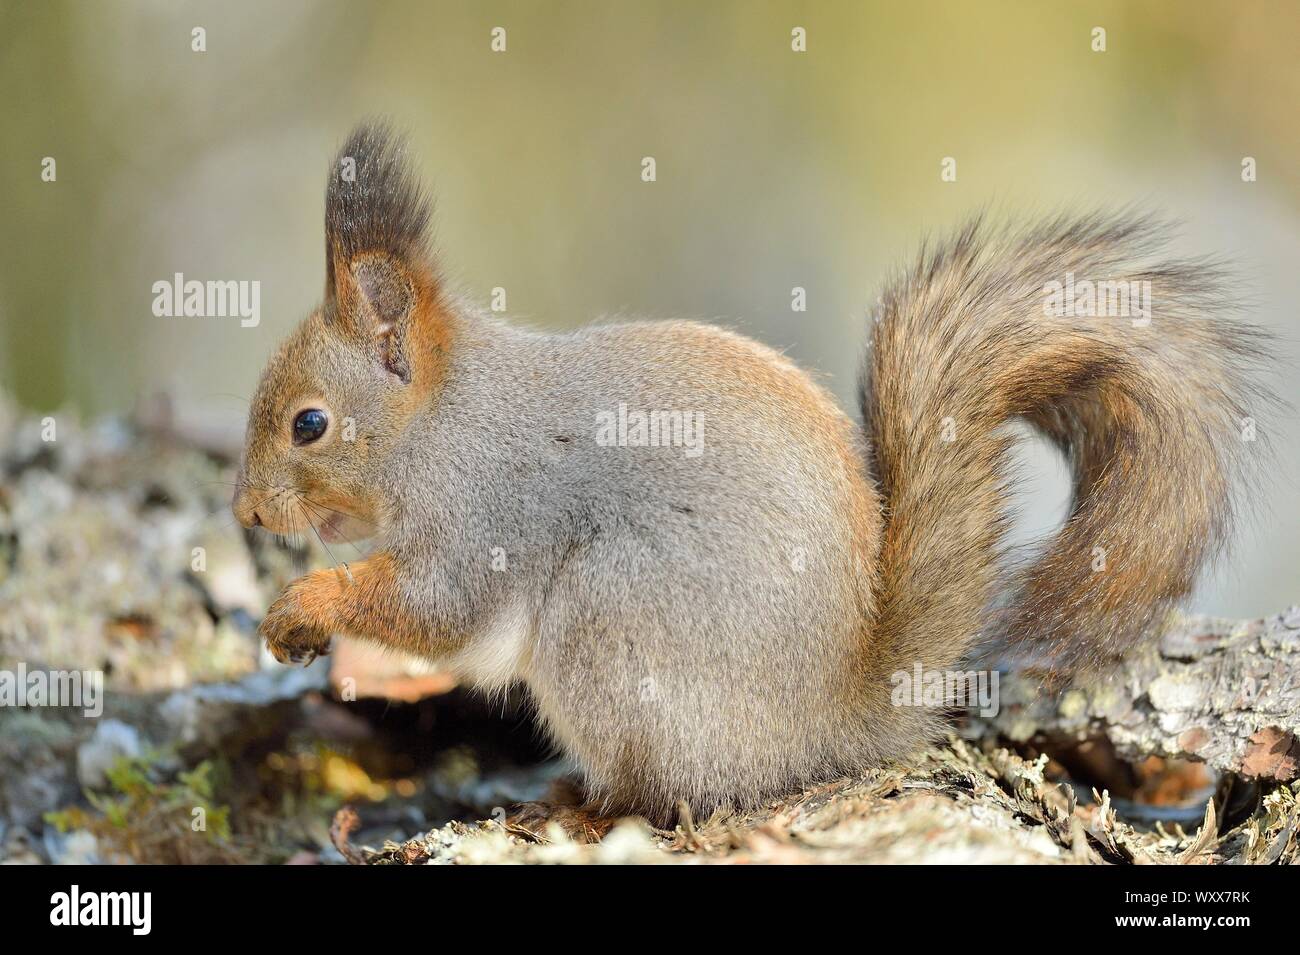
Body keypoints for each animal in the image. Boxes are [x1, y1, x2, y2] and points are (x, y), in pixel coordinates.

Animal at [233, 123, 1274, 822]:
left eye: (309, 424)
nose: (245, 511)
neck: (441, 422)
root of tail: (833, 721)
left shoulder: (484, 509)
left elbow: (435, 607)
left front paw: (305, 604)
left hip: (612, 622)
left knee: (679, 787)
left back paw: (588, 802)